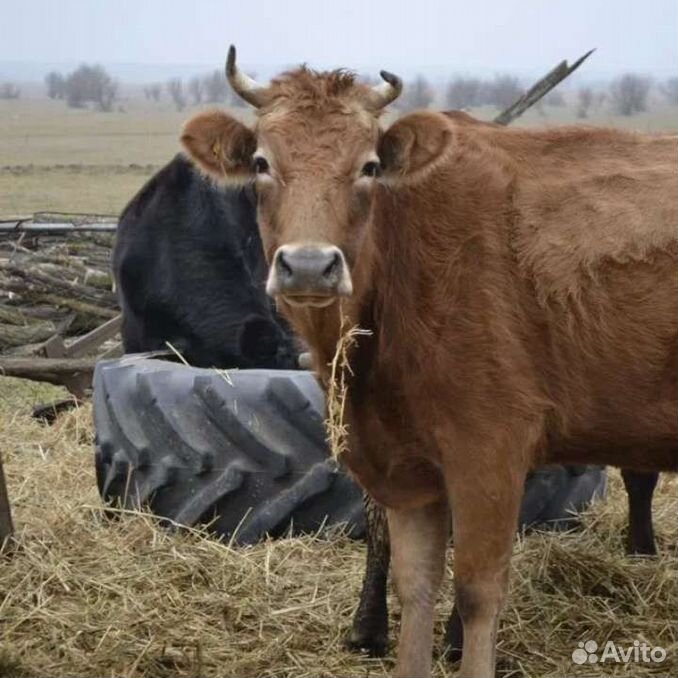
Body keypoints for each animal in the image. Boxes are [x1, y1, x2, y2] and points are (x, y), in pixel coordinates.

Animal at [182, 45, 678, 676]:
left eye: (369, 167)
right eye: (263, 163)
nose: (310, 265)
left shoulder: (490, 454)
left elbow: (478, 591)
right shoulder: (406, 468)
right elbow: (415, 585)